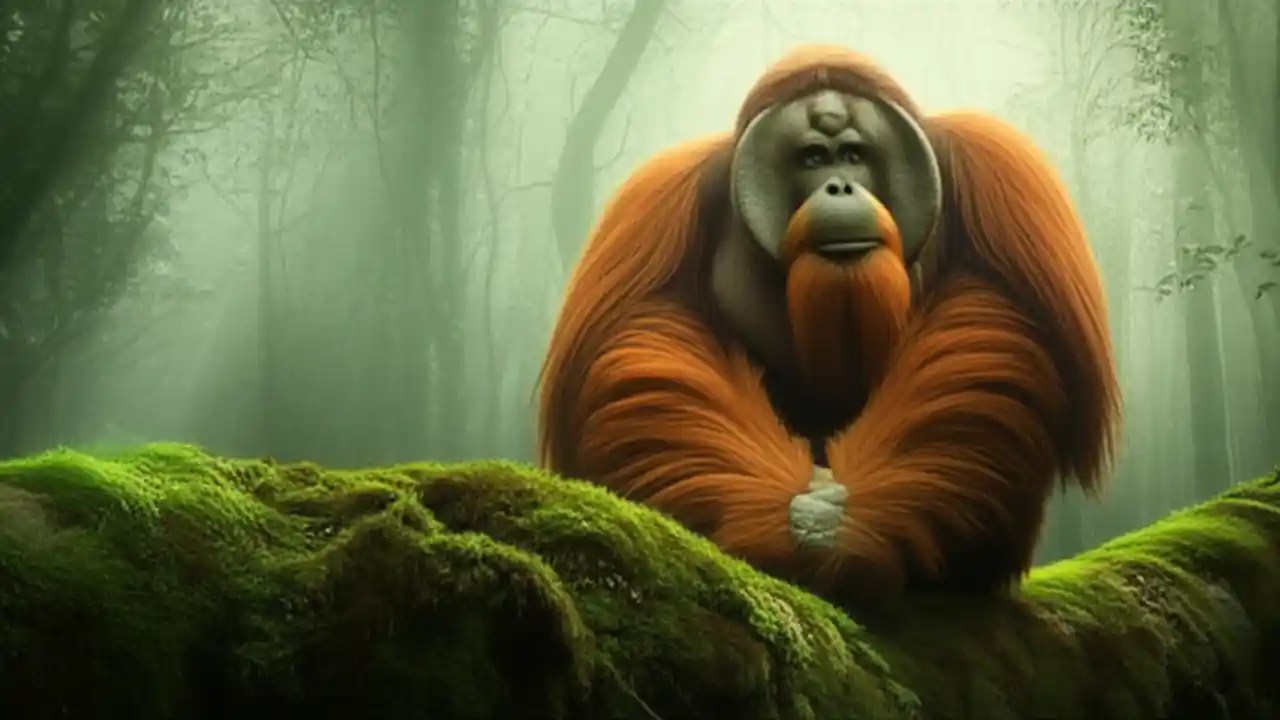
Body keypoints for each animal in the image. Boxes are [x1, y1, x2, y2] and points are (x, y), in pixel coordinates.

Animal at [536, 45, 1120, 606]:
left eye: (855, 155)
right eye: (814, 157)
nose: (839, 187)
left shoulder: (995, 168)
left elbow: (1000, 316)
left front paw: (840, 528)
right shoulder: (660, 203)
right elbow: (647, 335)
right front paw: (800, 520)